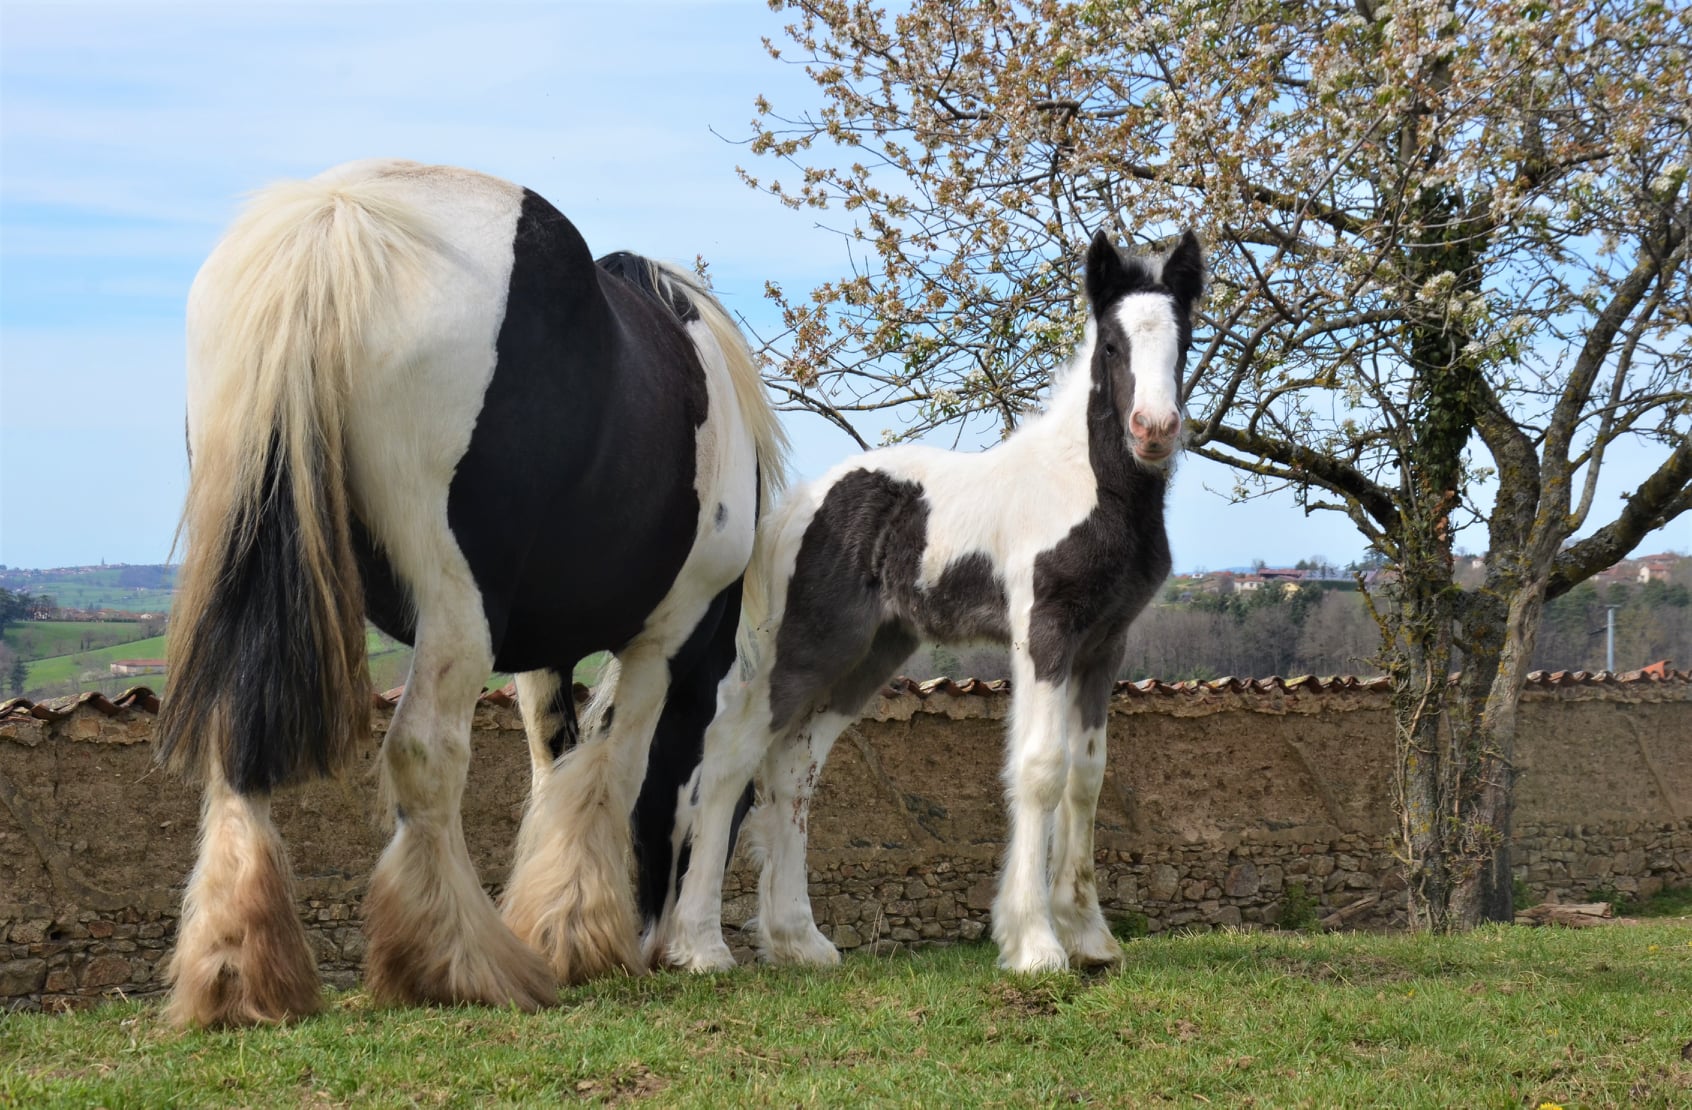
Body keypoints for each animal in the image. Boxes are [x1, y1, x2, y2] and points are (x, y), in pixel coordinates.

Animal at [156, 159, 786, 1027]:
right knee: (424, 752)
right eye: (746, 801)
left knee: (235, 746)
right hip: (459, 604)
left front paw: (555, 928)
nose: (681, 944)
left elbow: (556, 767)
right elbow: (616, 768)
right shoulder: (669, 633)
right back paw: (454, 963)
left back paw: (238, 972)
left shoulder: (542, 648)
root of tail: (336, 218)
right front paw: (585, 939)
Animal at [660, 228, 1203, 974]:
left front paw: (1091, 937)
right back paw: (701, 947)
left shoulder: (1105, 643)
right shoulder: (1045, 634)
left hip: (870, 653)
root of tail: (797, 504)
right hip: (808, 646)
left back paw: (800, 940)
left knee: (794, 770)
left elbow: (1086, 777)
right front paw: (1035, 944)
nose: (1154, 429)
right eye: (1113, 347)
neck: (1084, 489)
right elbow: (1040, 769)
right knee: (728, 758)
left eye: (1185, 341)